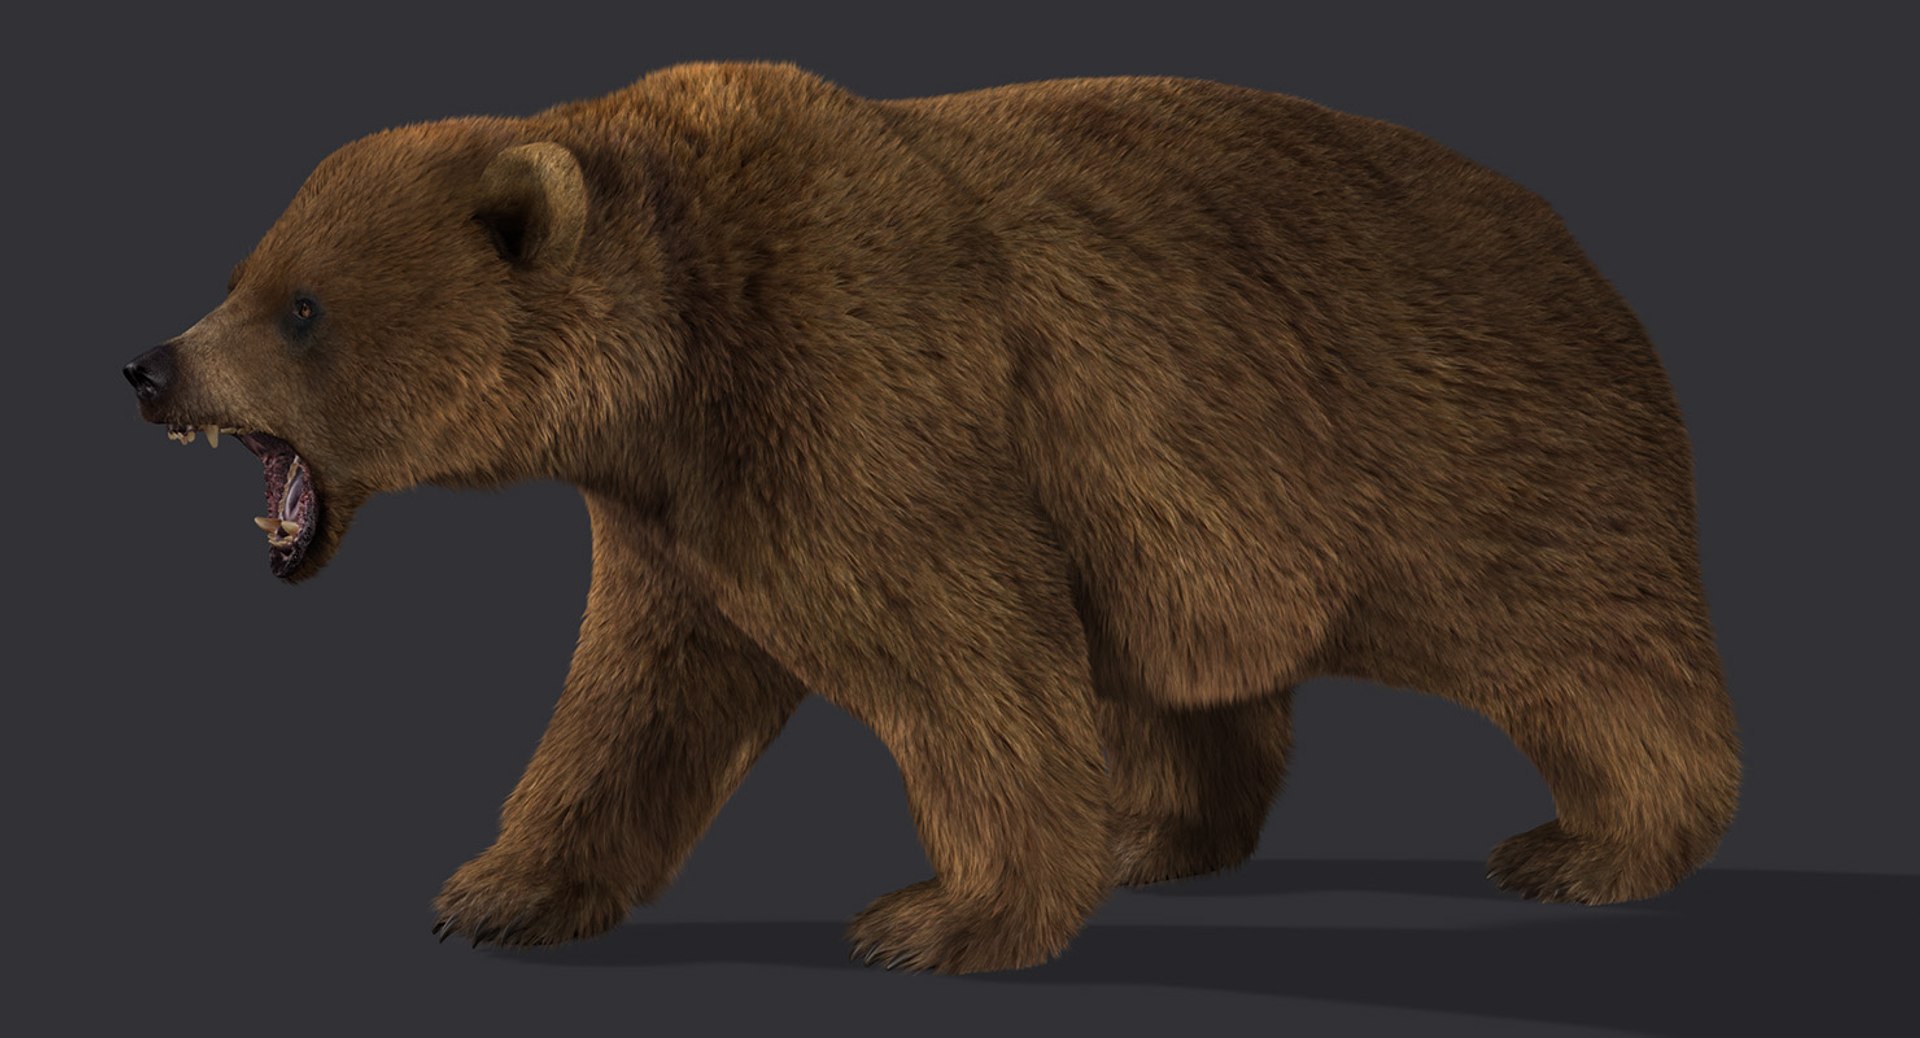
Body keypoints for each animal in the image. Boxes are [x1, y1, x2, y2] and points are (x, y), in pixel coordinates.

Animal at [123, 61, 1741, 973]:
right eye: (246, 267)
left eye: (299, 306)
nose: (150, 365)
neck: (676, 347)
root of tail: (1579, 246)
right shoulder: (678, 510)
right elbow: (637, 697)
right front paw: (502, 887)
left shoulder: (855, 384)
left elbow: (963, 651)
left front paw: (940, 916)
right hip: (1191, 523)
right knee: (1179, 680)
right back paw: (1152, 830)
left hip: (1479, 453)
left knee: (1589, 648)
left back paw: (1591, 845)